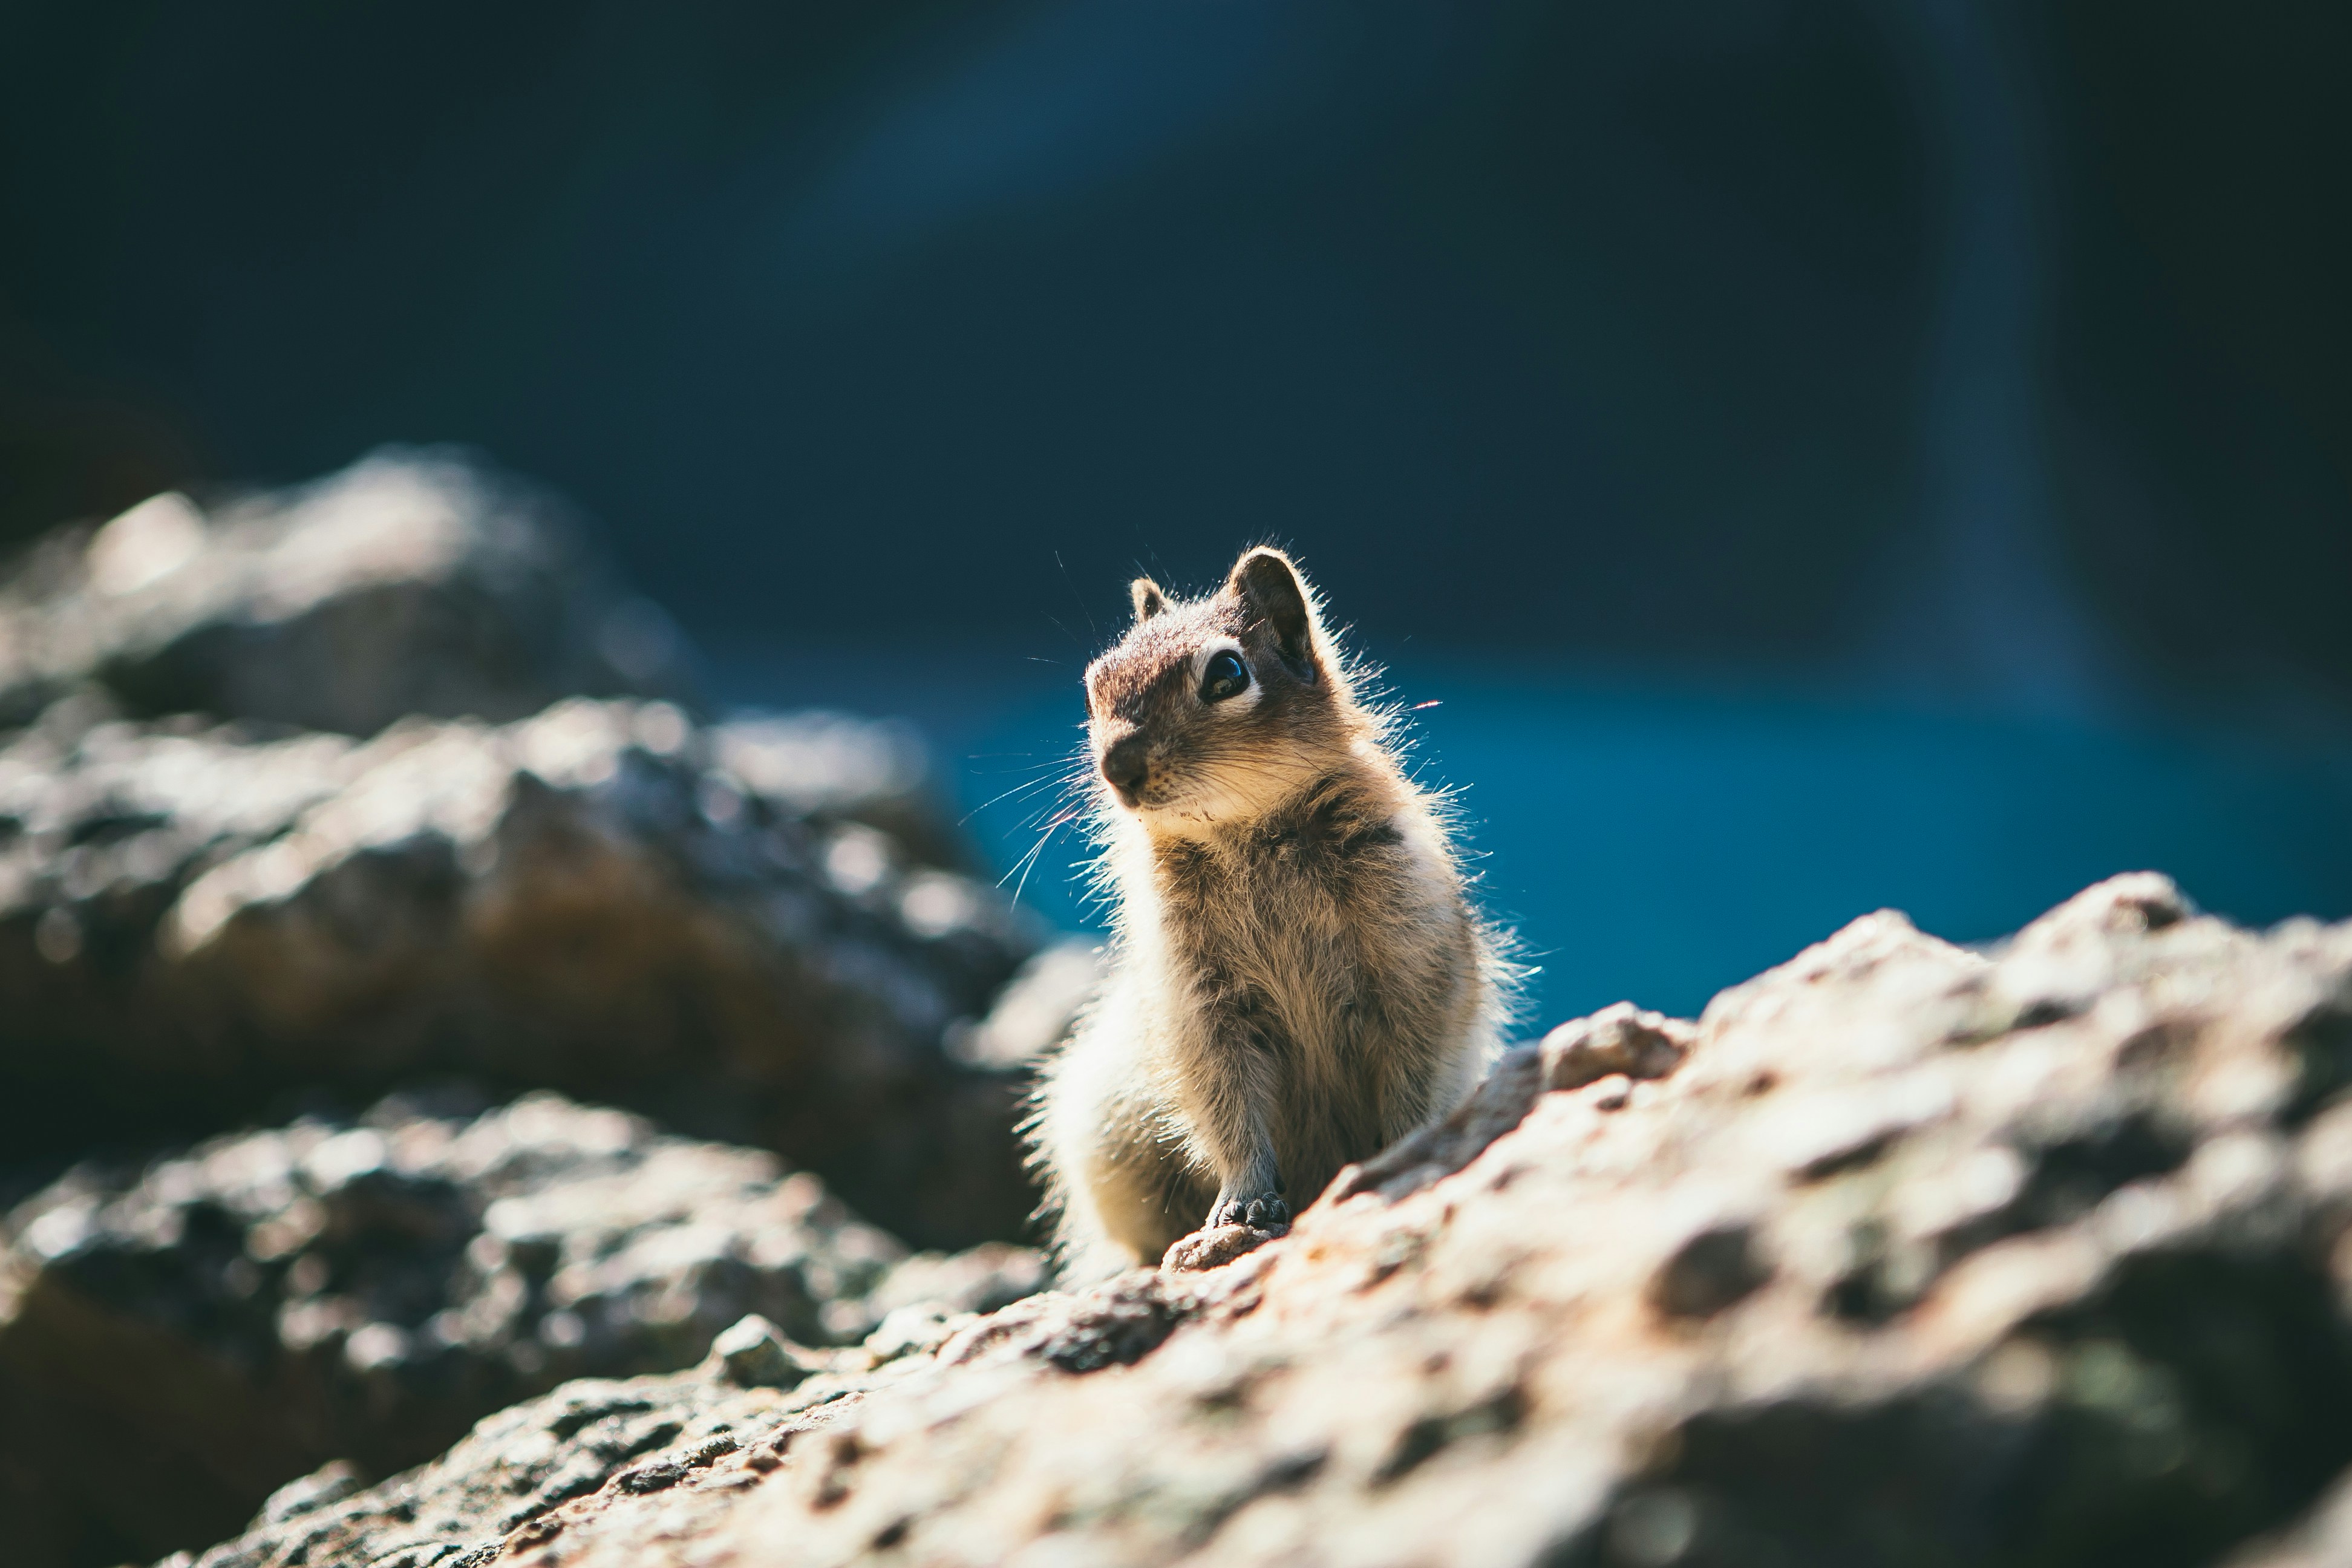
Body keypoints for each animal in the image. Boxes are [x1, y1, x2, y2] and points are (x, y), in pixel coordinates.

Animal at [1028, 546, 1513, 1278]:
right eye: (1093, 686)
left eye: (1227, 673)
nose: (1117, 766)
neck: (1250, 831)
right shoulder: (1199, 1004)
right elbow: (1227, 1110)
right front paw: (1244, 1203)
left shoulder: (1417, 972)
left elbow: (1415, 1080)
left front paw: (1404, 1154)